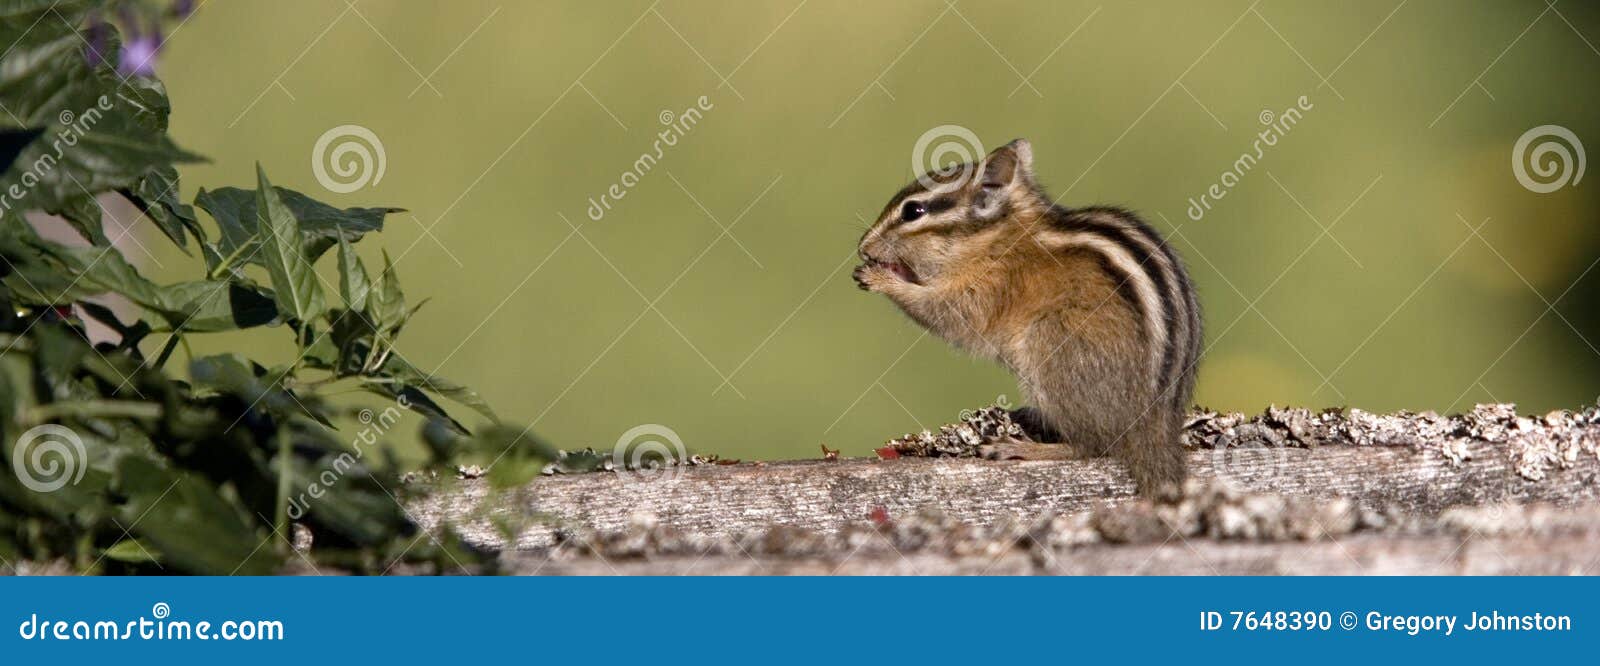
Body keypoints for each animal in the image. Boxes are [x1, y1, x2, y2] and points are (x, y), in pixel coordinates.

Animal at [852, 139, 1201, 498]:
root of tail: (1153, 429)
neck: (994, 237)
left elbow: (947, 314)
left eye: (913, 212)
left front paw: (881, 279)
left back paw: (1019, 447)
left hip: (1051, 342)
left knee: (1091, 446)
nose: (863, 247)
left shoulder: (987, 288)